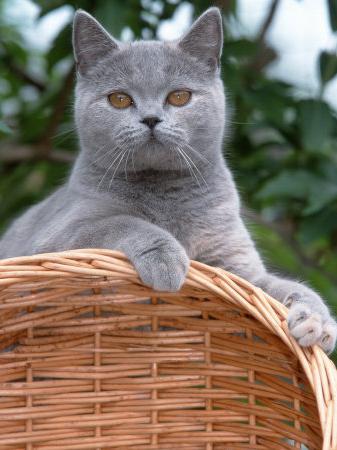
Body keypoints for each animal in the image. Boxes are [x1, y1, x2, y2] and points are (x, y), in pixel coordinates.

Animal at [0, 6, 336, 352]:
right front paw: (167, 258)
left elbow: (272, 286)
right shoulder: (54, 239)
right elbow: (121, 221)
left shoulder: (234, 264)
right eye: (119, 99)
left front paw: (315, 320)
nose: (151, 118)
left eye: (179, 96)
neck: (166, 194)